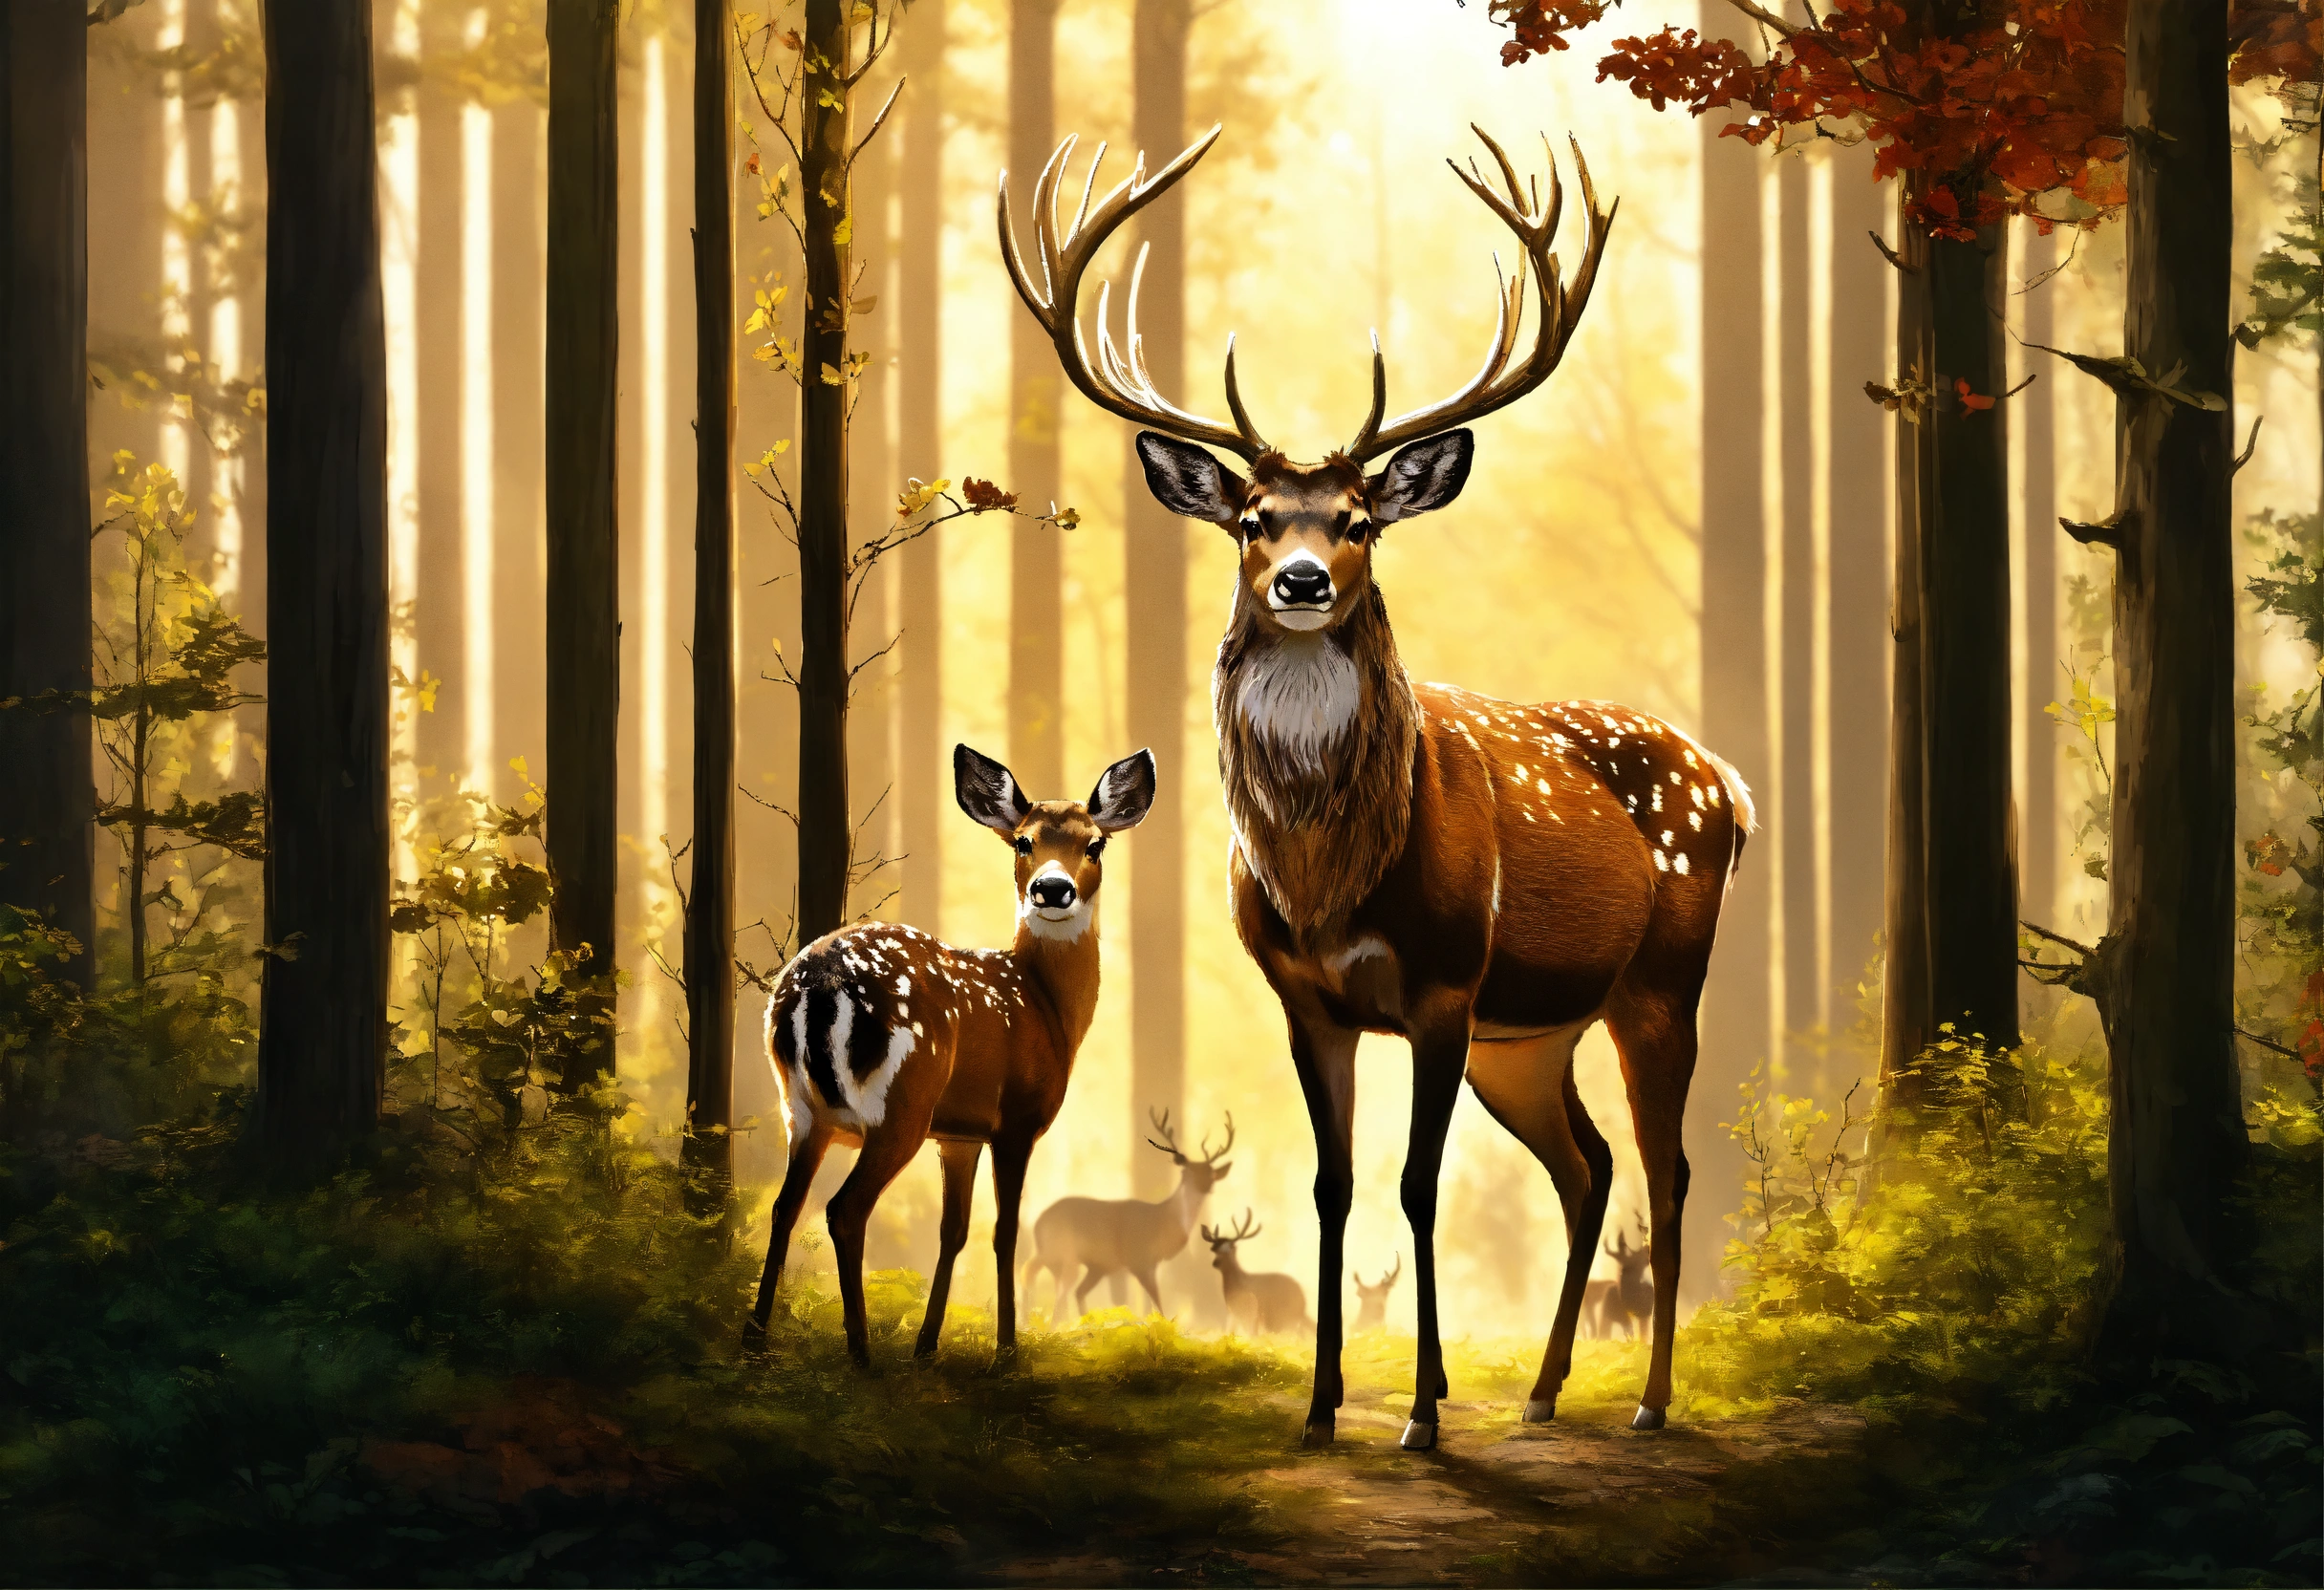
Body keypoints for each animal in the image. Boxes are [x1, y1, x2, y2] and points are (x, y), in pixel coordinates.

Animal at [744, 743, 1156, 1365]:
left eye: (1095, 844)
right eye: (1023, 842)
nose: (1052, 889)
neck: (1046, 1007)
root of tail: (819, 983)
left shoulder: (959, 1133)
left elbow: (953, 1231)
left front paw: (926, 1345)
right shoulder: (1016, 1120)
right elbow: (1004, 1233)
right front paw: (1006, 1351)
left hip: (801, 1110)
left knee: (784, 1207)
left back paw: (755, 1338)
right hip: (901, 1105)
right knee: (844, 1211)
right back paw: (861, 1354)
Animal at [1020, 1109, 1234, 1322]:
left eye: (1211, 1173)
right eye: (1187, 1171)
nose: (1207, 1186)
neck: (1161, 1223)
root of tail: (1039, 1222)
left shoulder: (1131, 1267)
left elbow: (1135, 1304)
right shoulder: (1137, 1259)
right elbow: (1156, 1304)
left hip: (1080, 1263)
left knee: (1063, 1287)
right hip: (1062, 1251)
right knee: (1039, 1279)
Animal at [1203, 1211, 1313, 1336]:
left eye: (1228, 1246)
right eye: (1215, 1248)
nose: (1215, 1263)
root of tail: (1303, 1299)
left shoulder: (1252, 1313)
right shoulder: (1233, 1314)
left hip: (1284, 1316)